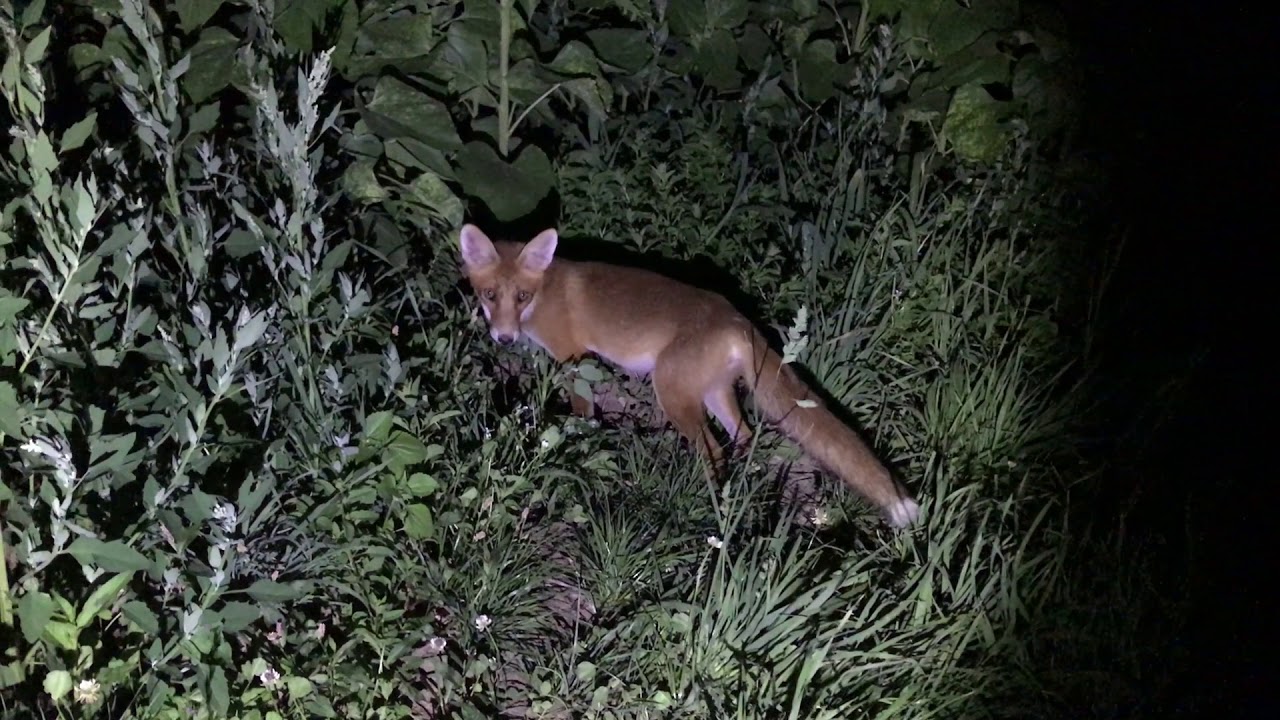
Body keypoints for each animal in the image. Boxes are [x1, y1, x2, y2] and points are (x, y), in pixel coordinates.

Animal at [457, 224, 920, 529]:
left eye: (521, 296)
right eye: (489, 295)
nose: (503, 337)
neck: (546, 292)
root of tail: (736, 318)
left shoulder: (573, 356)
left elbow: (581, 409)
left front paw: (579, 440)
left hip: (674, 395)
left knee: (713, 451)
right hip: (716, 395)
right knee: (743, 438)